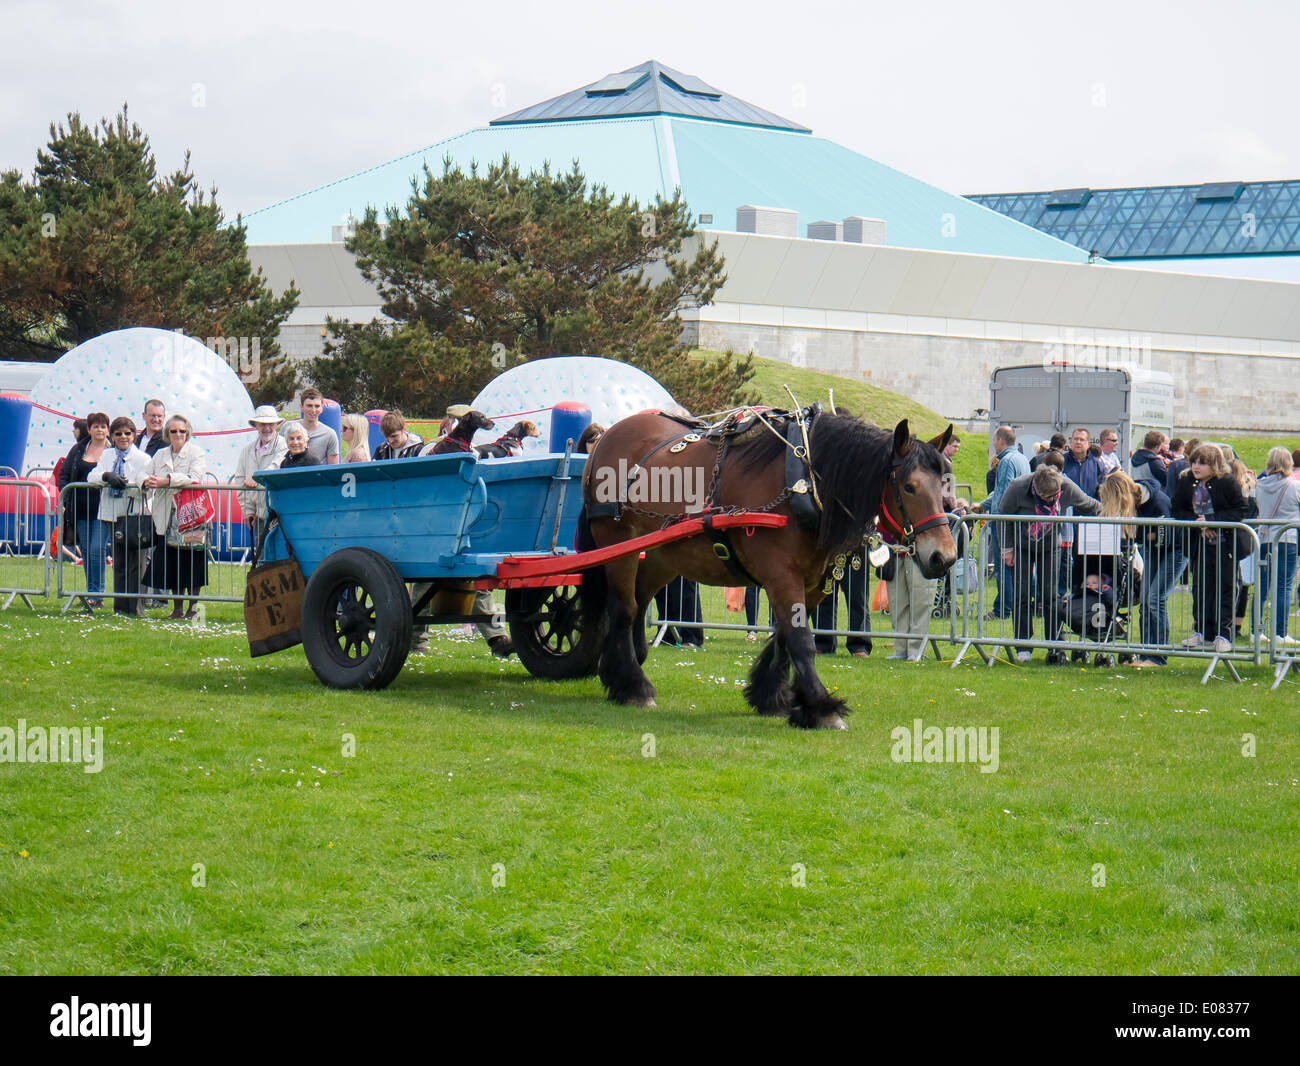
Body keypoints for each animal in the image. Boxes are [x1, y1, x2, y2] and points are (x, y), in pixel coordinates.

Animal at [577, 408, 957, 729]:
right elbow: (801, 640)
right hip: (618, 544)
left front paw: (771, 695)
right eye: (909, 487)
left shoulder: (813, 581)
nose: (945, 557)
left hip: (662, 553)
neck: (805, 482)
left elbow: (784, 636)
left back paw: (620, 671)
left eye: (944, 484)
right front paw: (822, 707)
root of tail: (608, 435)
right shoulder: (781, 575)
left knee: (639, 602)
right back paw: (633, 686)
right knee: (624, 608)